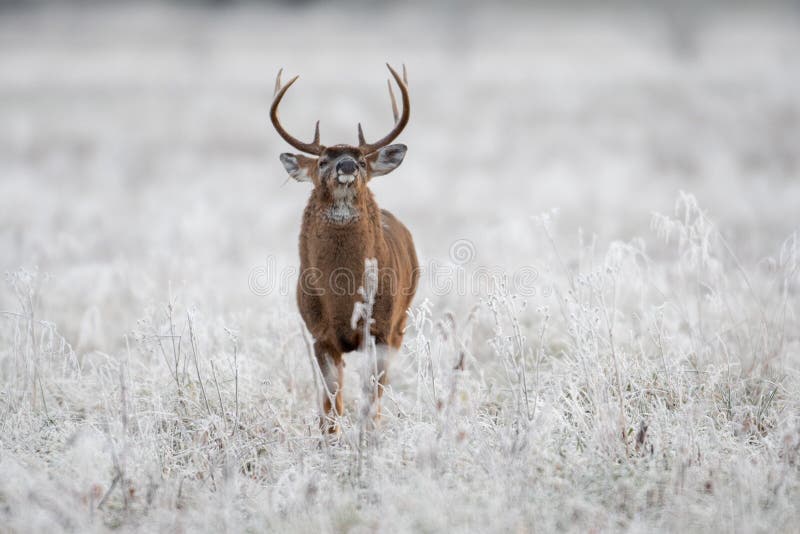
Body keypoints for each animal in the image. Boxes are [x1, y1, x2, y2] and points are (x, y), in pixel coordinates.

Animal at [270, 64, 419, 433]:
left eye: (363, 161)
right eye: (323, 160)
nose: (347, 165)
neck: (342, 296)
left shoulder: (379, 329)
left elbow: (370, 399)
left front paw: (368, 436)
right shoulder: (319, 335)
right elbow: (330, 404)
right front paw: (330, 439)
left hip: (401, 322)